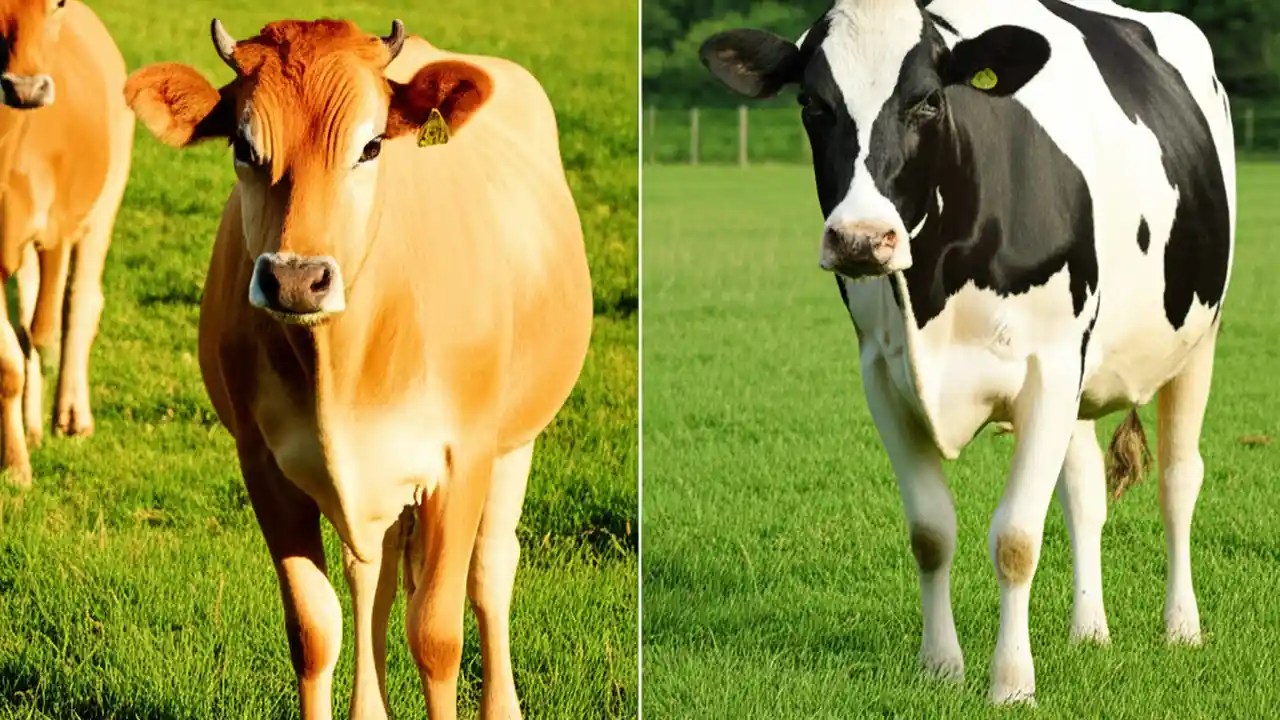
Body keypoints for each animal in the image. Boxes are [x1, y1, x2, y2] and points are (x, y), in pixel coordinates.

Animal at [0, 0, 133, 485]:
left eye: (53, 3)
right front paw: (17, 458)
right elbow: (11, 357)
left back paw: (72, 416)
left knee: (80, 303)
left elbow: (43, 332)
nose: (26, 88)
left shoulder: (55, 231)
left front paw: (18, 459)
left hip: (104, 201)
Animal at [124, 18, 592, 720]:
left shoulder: (463, 458)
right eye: (243, 145)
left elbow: (436, 635)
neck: (340, 368)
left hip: (516, 439)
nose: (296, 278)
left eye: (371, 146)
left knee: (490, 568)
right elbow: (314, 630)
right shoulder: (264, 465)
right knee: (373, 573)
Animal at [701, 0, 1234, 705]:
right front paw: (940, 666)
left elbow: (1015, 538)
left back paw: (1182, 627)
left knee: (1178, 480)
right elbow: (930, 532)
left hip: (1198, 338)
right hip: (1083, 375)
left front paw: (1011, 683)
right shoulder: (884, 376)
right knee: (1086, 493)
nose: (860, 239)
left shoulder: (1049, 368)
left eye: (928, 101)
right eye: (812, 103)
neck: (933, 292)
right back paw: (1089, 630)